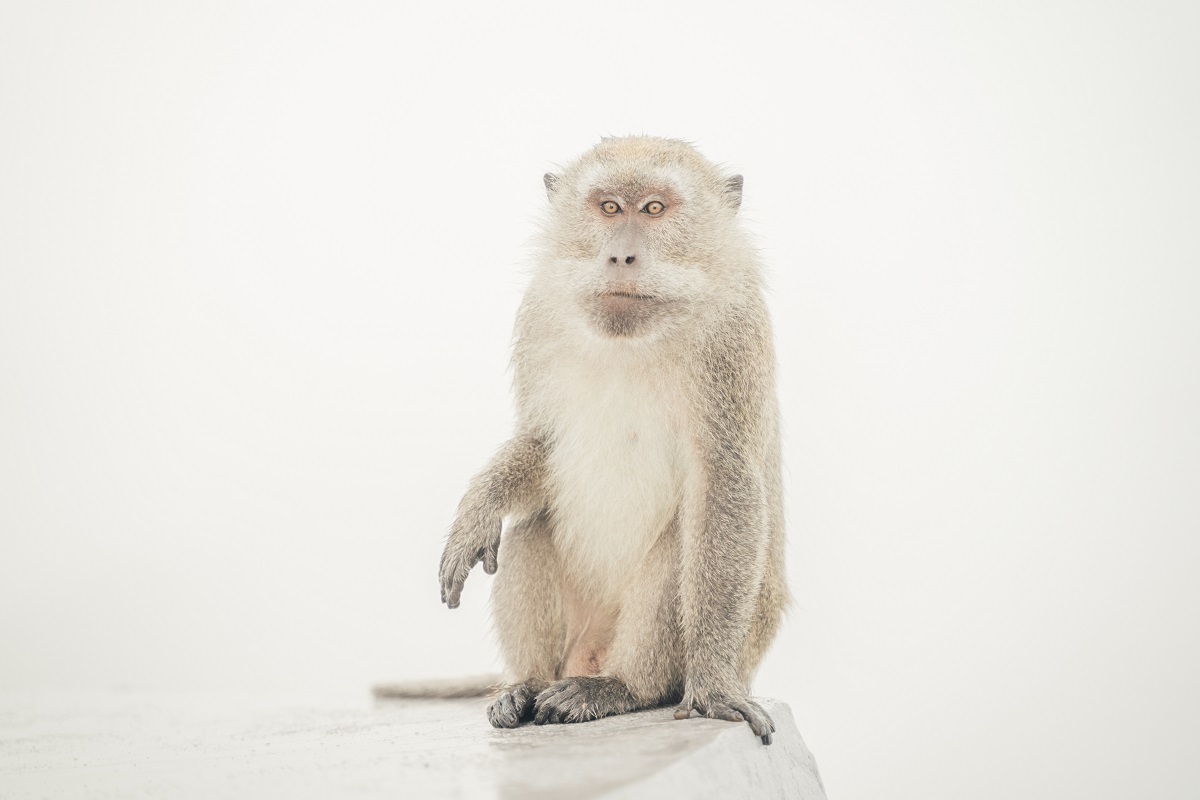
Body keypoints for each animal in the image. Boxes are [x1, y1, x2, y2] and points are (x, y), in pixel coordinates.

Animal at [418, 136, 787, 745]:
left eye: (654, 209)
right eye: (610, 208)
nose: (621, 257)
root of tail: (587, 658)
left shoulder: (733, 332)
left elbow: (726, 480)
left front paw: (713, 685)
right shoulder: (539, 312)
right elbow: (540, 440)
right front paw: (478, 508)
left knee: (681, 546)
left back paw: (621, 688)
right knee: (532, 528)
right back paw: (524, 686)